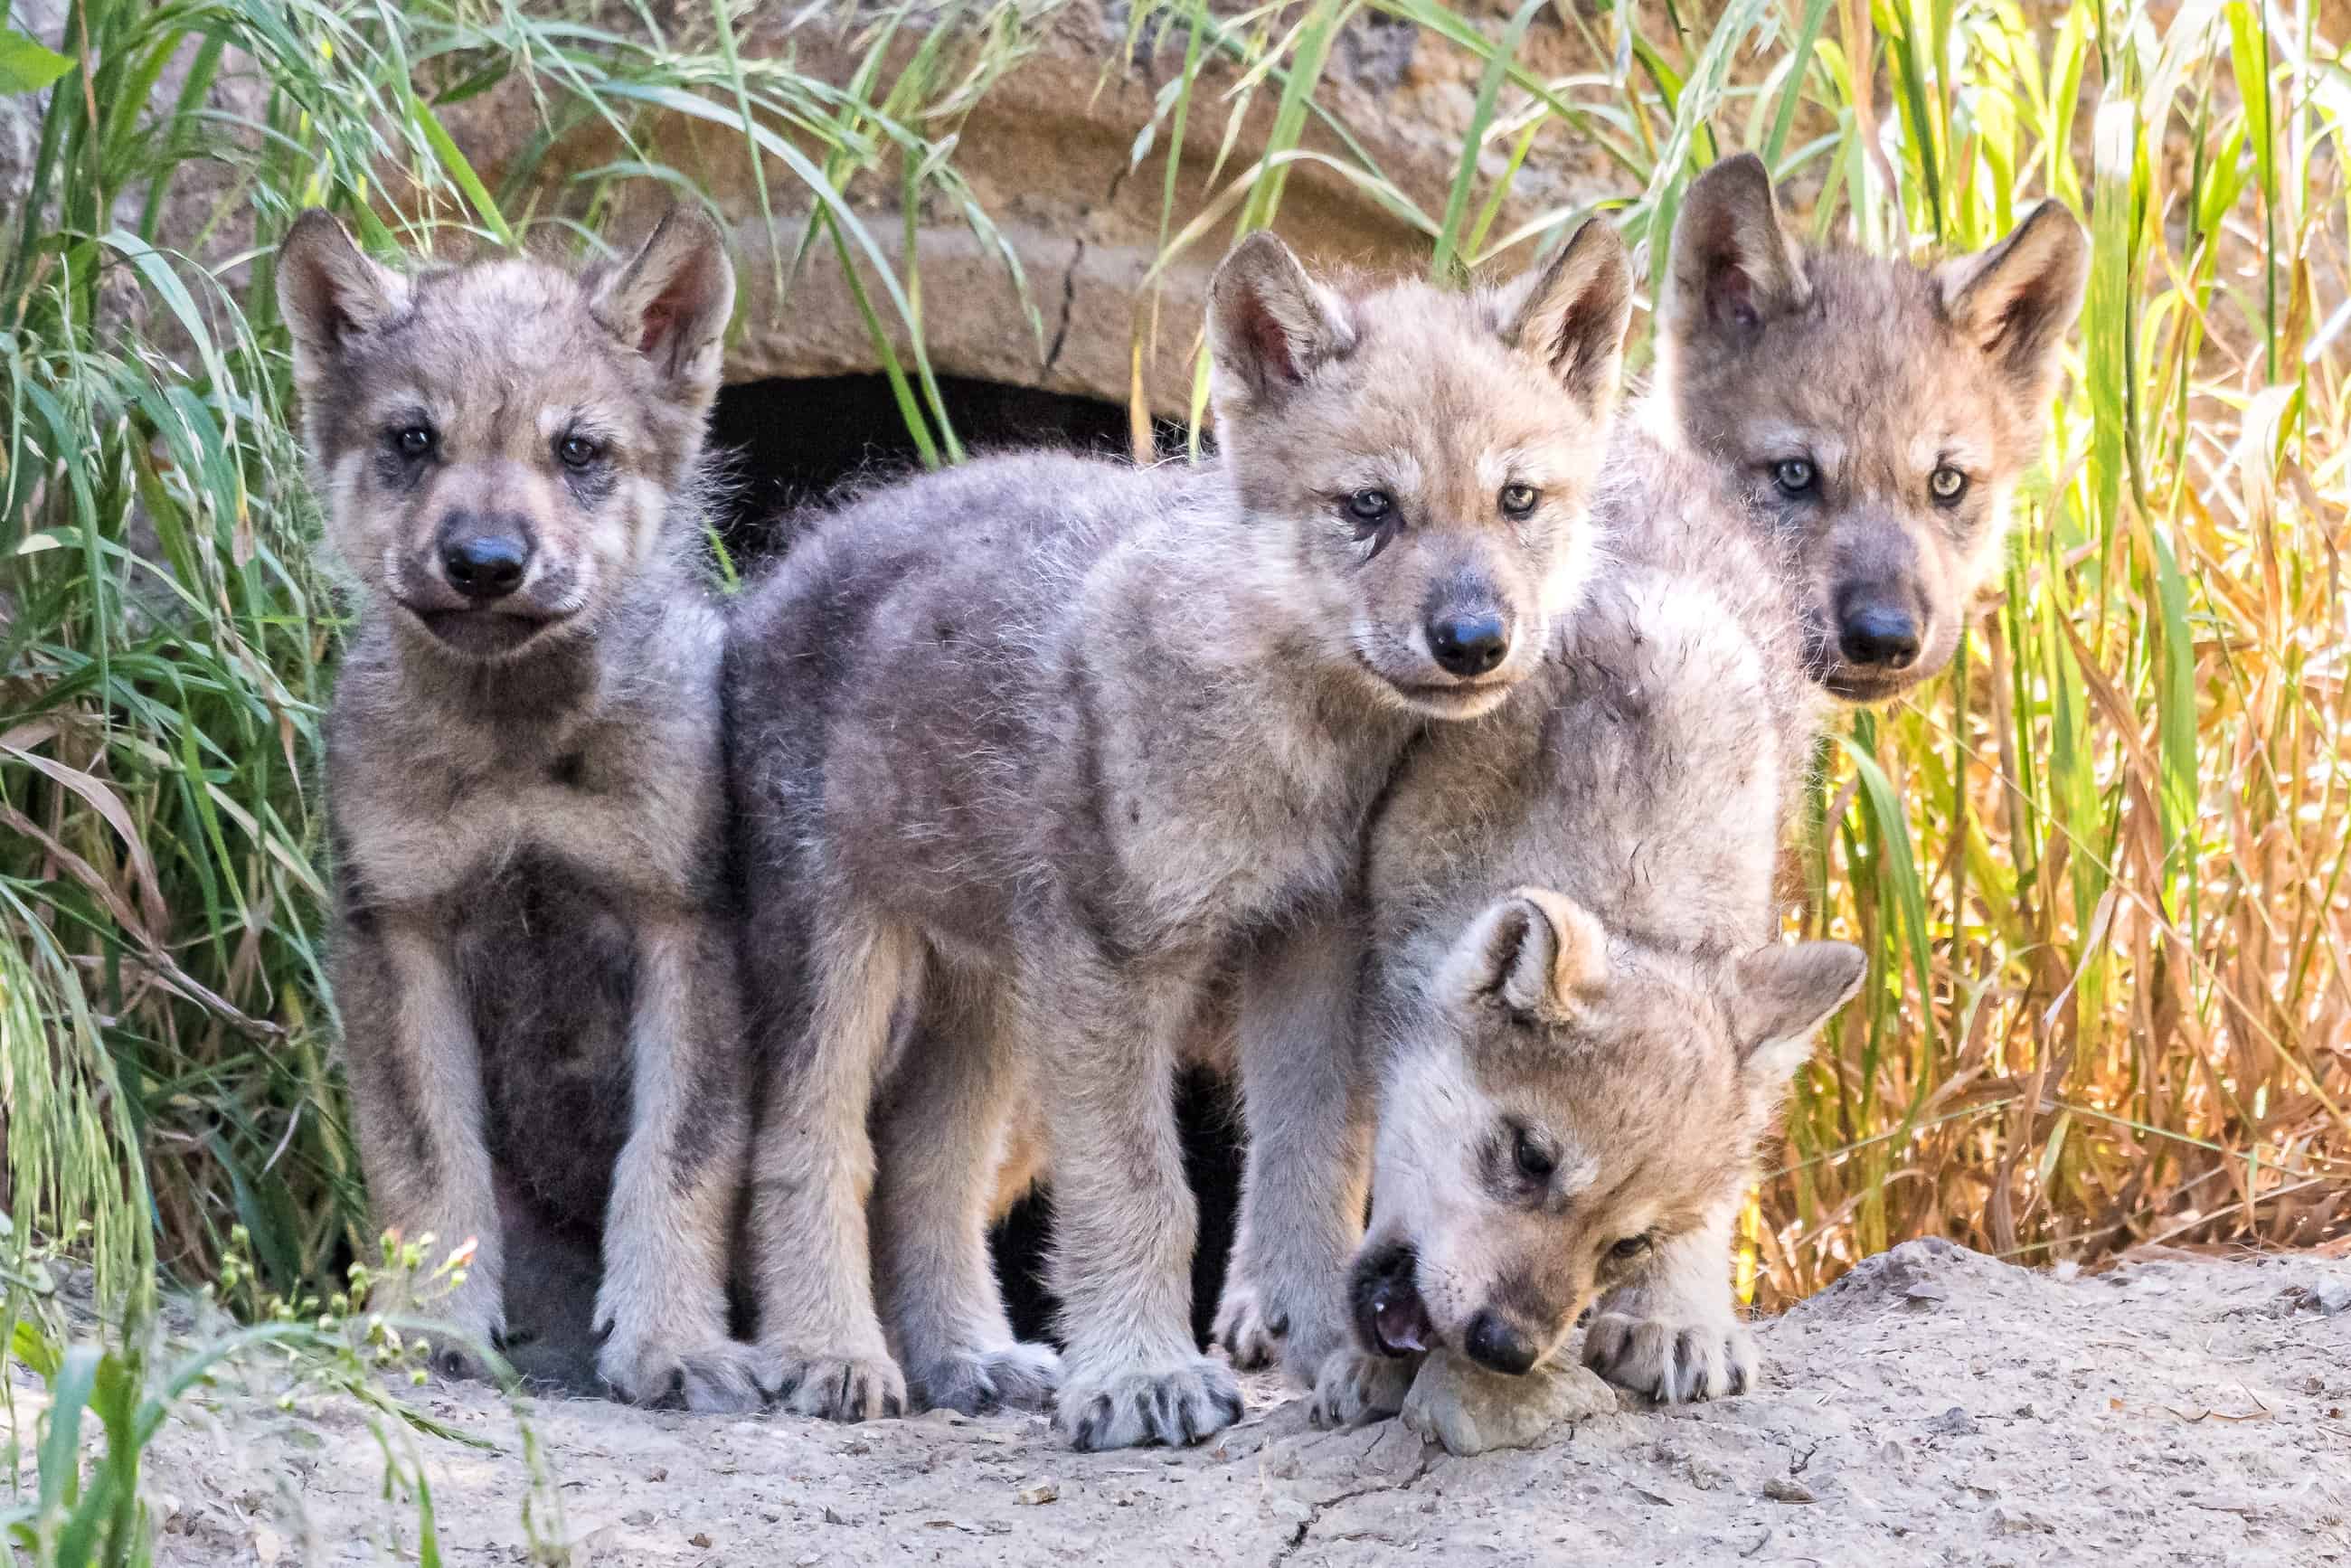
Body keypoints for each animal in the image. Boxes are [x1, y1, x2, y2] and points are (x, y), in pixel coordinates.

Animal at [280, 207, 761, 1411]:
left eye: (577, 451)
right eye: (412, 440)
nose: (485, 564)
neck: (519, 747)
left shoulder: (684, 930)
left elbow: (675, 1158)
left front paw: (672, 1342)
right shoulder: (399, 931)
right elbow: (425, 1163)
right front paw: (428, 1326)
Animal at [727, 221, 1634, 1448]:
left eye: (1518, 500)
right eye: (1367, 508)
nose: (1472, 640)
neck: (1297, 739)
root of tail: (788, 559)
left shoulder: (1307, 947)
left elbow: (1308, 1170)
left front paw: (1329, 1352)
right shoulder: (1111, 962)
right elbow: (1144, 1193)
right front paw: (1140, 1378)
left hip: (988, 997)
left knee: (927, 1167)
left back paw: (966, 1357)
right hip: (843, 959)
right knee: (813, 1148)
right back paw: (828, 1356)